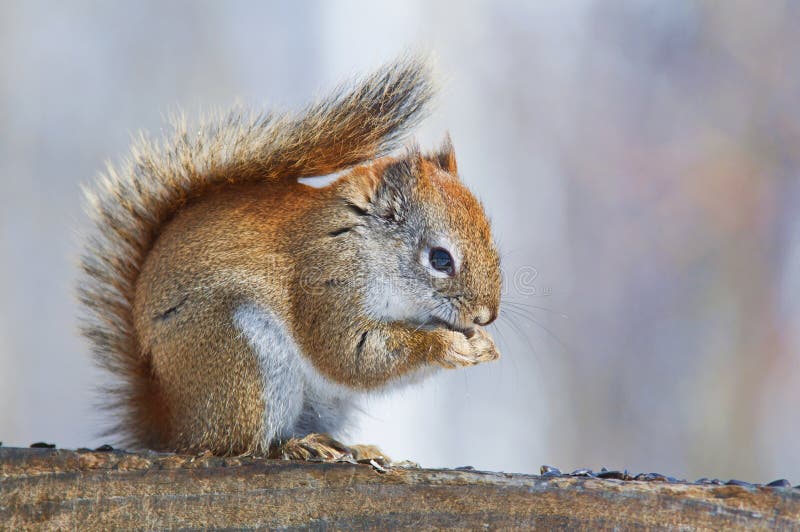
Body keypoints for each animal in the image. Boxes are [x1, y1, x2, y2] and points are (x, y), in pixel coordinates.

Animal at [78, 56, 501, 460]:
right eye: (441, 259)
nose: (486, 316)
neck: (369, 245)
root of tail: (172, 424)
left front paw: (482, 344)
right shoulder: (325, 281)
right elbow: (349, 354)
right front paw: (448, 345)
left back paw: (352, 448)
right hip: (240, 358)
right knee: (240, 444)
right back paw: (292, 447)